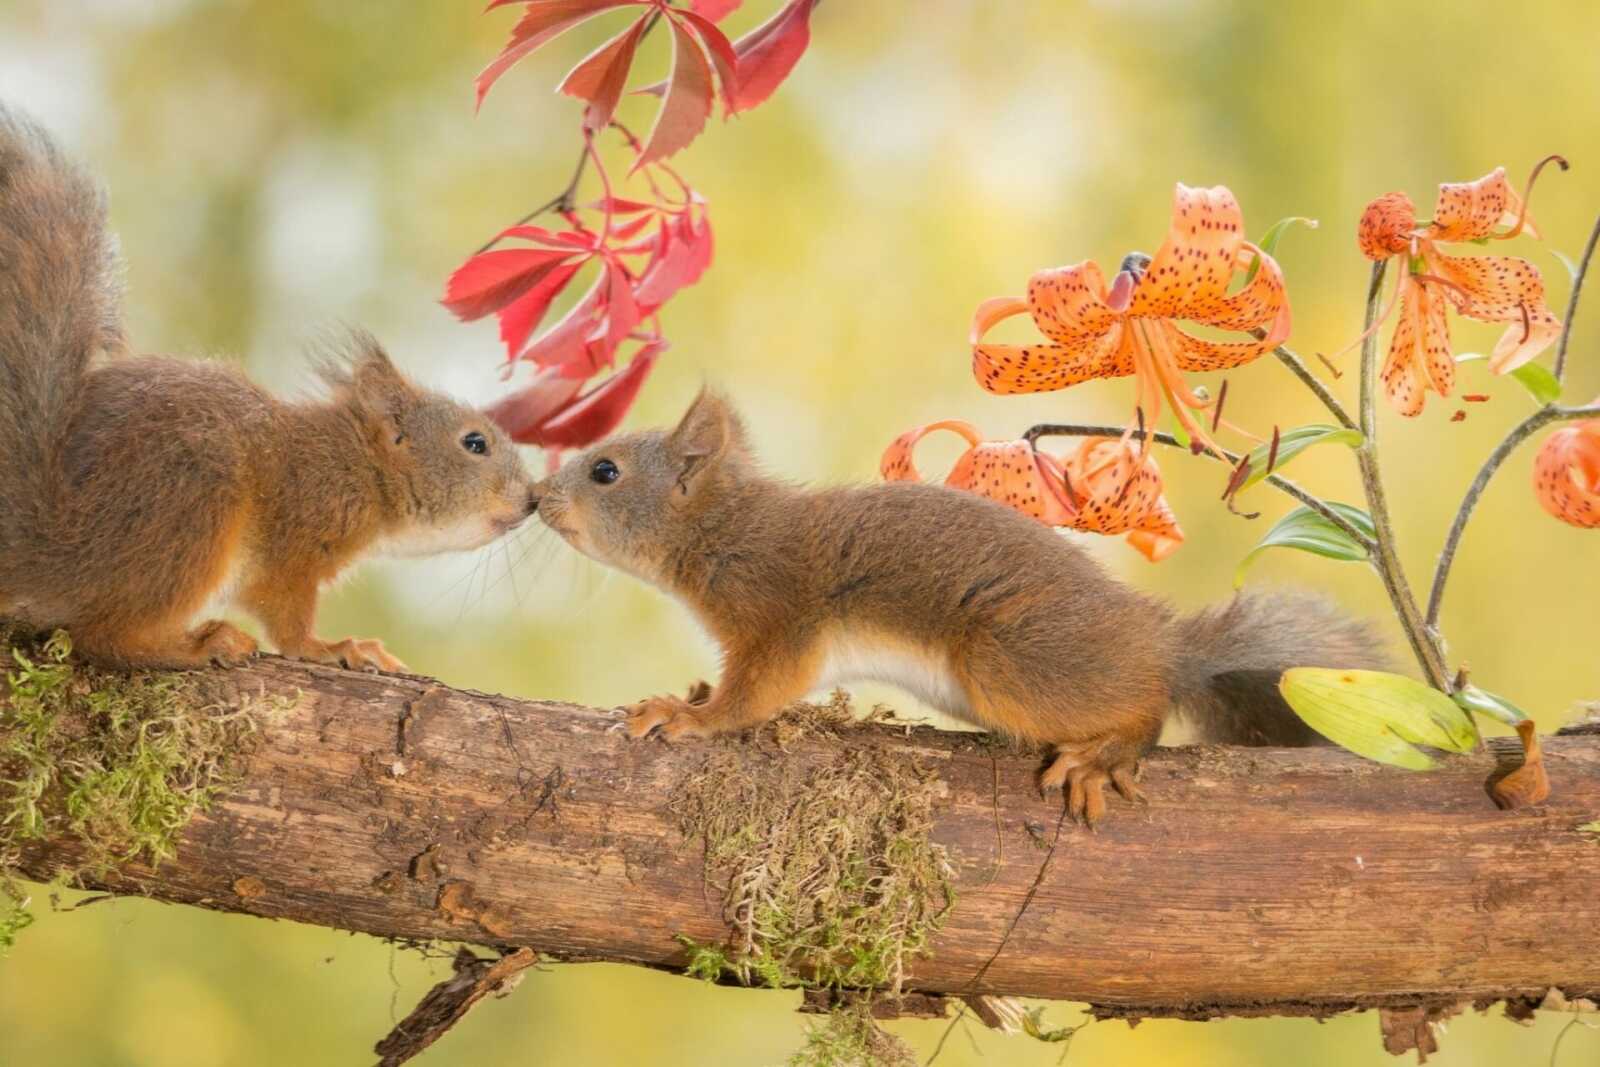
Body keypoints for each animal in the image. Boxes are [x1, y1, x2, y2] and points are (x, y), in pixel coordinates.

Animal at [0, 105, 538, 671]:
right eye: (474, 443)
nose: (531, 500)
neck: (357, 466)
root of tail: (49, 546)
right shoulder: (296, 538)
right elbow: (283, 612)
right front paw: (333, 647)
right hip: (193, 509)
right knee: (103, 634)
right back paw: (200, 644)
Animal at [533, 389, 1386, 823]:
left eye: (605, 471)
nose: (538, 497)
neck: (723, 528)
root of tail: (1163, 644)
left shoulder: (780, 611)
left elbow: (756, 693)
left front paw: (688, 714)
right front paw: (693, 691)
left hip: (1010, 660)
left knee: (1144, 707)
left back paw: (1105, 752)